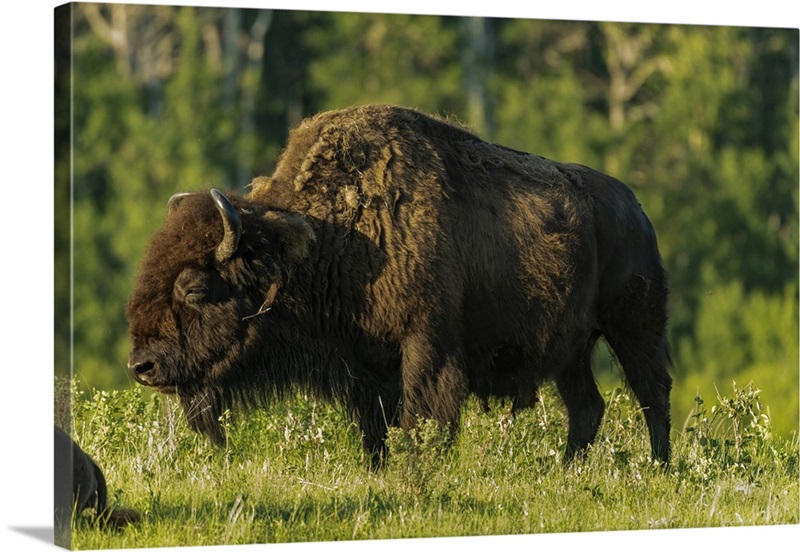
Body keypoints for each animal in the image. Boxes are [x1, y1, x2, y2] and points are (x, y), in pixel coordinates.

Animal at [126, 104, 672, 466]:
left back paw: (659, 468)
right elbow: (377, 428)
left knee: (653, 392)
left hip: (634, 327)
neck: (322, 240)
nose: (142, 366)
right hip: (571, 350)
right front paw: (379, 470)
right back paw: (566, 469)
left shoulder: (427, 346)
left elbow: (423, 418)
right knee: (588, 407)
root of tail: (636, 209)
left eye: (195, 288)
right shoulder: (366, 367)